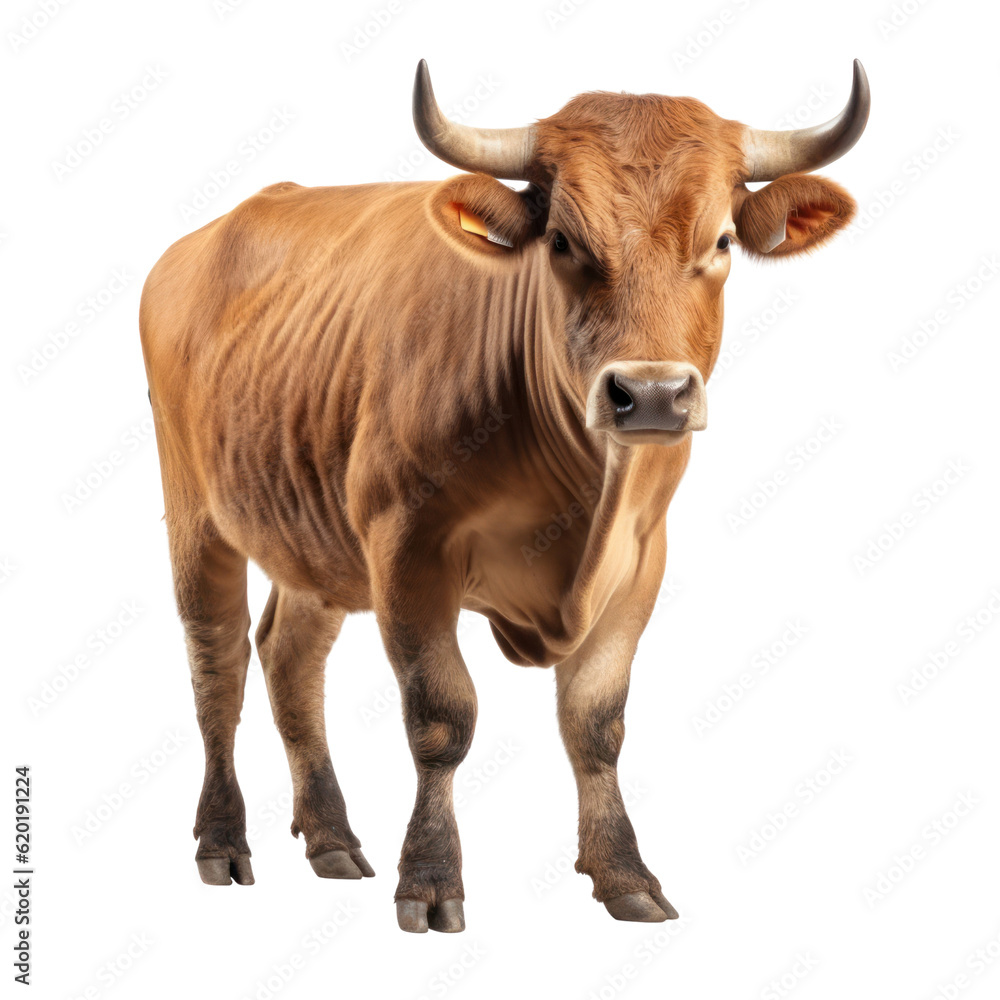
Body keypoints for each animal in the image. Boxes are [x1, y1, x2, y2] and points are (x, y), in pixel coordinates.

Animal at [139, 59, 869, 933]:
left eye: (721, 240)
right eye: (561, 241)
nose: (652, 395)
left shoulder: (642, 560)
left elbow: (596, 720)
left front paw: (624, 873)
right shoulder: (407, 548)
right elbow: (442, 716)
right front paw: (429, 880)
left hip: (307, 526)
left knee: (288, 659)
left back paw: (332, 840)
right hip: (195, 509)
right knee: (217, 664)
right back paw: (222, 841)